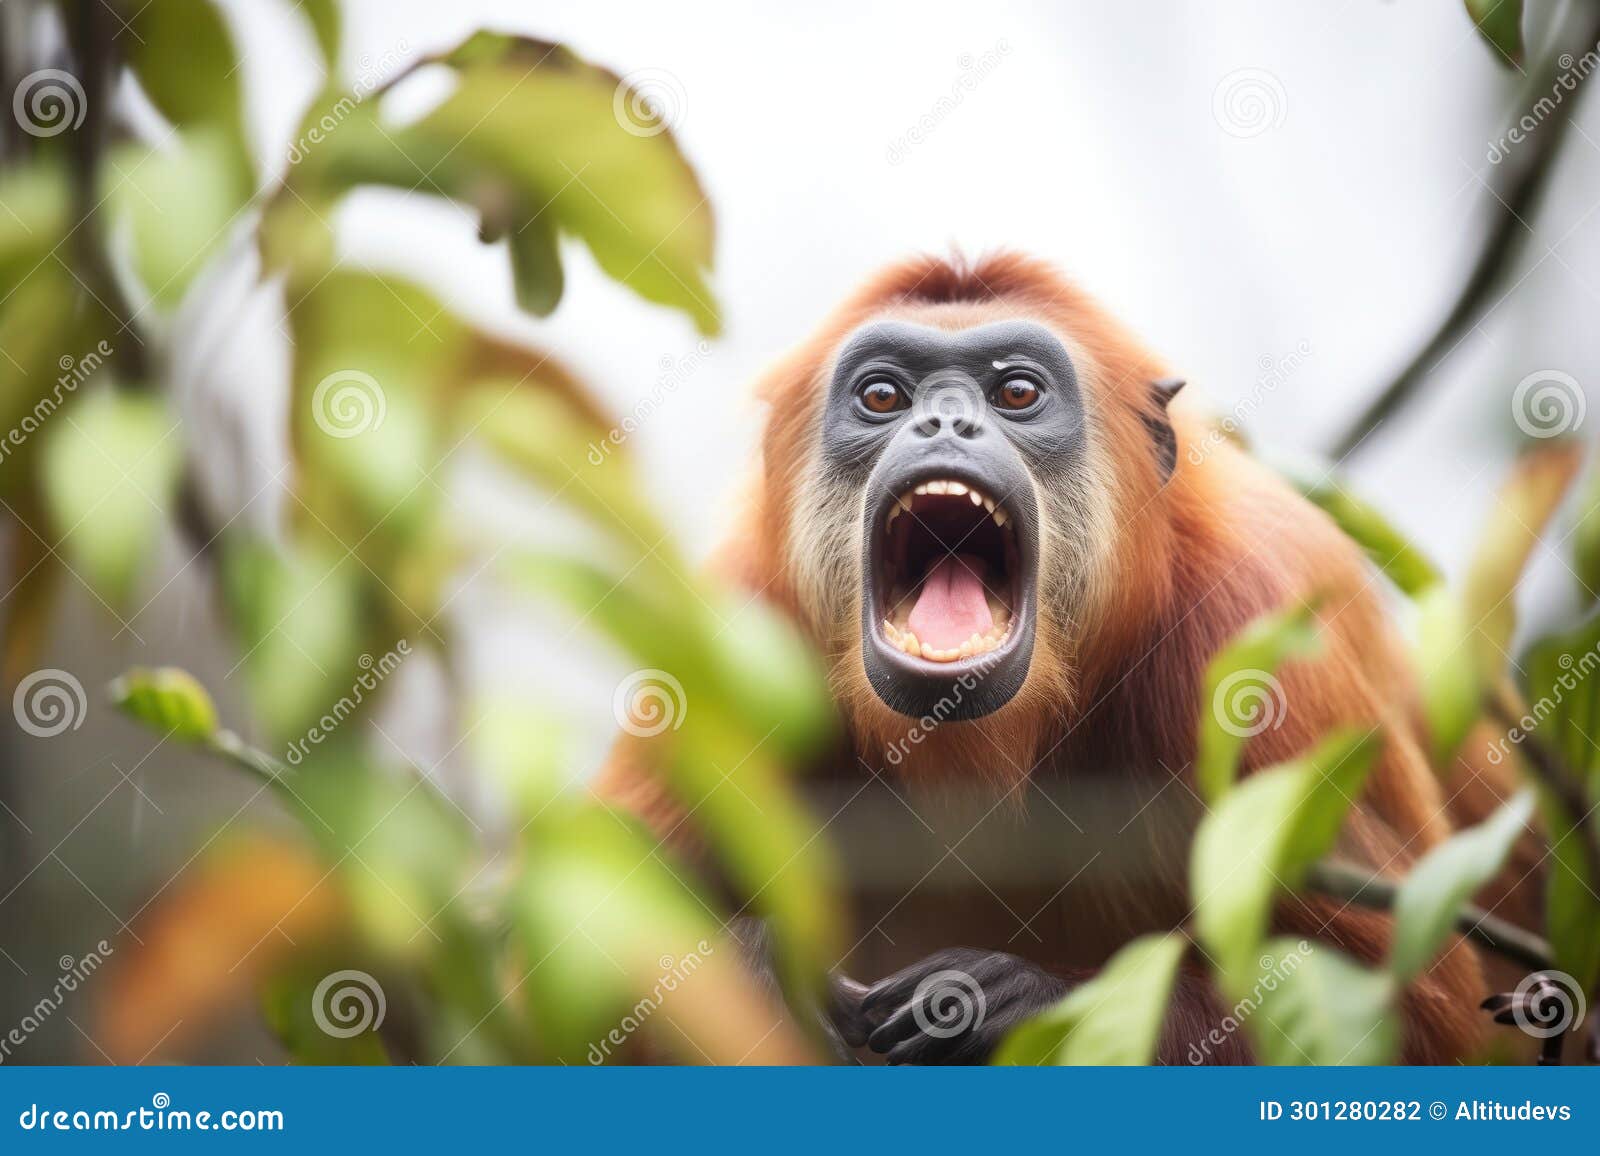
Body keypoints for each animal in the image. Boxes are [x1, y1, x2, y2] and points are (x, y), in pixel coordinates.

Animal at [599, 252, 1537, 1065]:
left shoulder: (1261, 624)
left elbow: (1418, 1012)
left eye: (1016, 392)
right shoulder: (729, 641)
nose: (945, 422)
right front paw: (761, 976)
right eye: (883, 395)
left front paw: (1003, 1003)